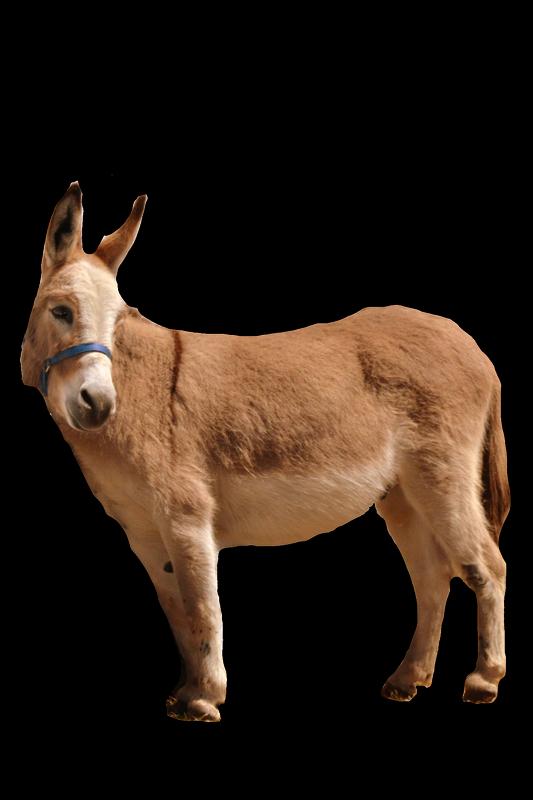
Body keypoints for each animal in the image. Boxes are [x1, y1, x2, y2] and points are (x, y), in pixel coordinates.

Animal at [21, 182, 510, 721]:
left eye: (116, 323)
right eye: (61, 312)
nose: (100, 404)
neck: (137, 393)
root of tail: (472, 347)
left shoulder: (187, 519)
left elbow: (202, 609)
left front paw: (204, 698)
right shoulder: (145, 535)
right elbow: (176, 613)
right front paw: (183, 691)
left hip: (443, 479)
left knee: (487, 567)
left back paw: (483, 681)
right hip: (402, 496)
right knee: (432, 577)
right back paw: (407, 679)